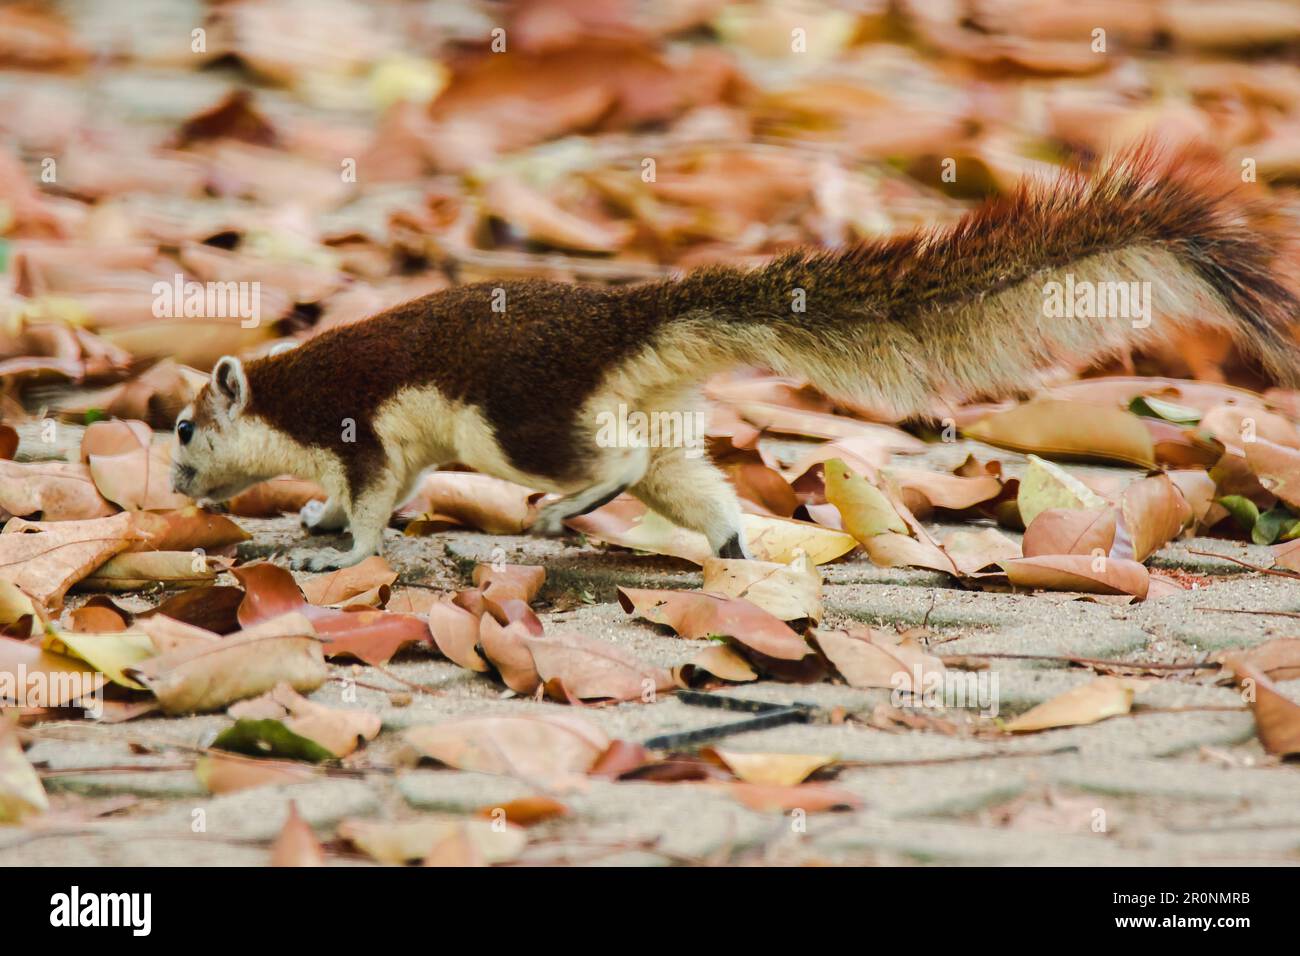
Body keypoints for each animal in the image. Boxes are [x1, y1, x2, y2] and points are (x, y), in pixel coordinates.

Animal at [170, 146, 1298, 571]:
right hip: (649, 425)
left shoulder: (356, 424)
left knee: (608, 463)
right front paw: (312, 520)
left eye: (183, 428)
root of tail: (618, 323)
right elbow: (375, 490)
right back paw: (734, 549)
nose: (178, 488)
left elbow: (370, 502)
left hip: (518, 416)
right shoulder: (388, 447)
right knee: (682, 479)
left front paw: (332, 547)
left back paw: (567, 513)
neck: (280, 394)